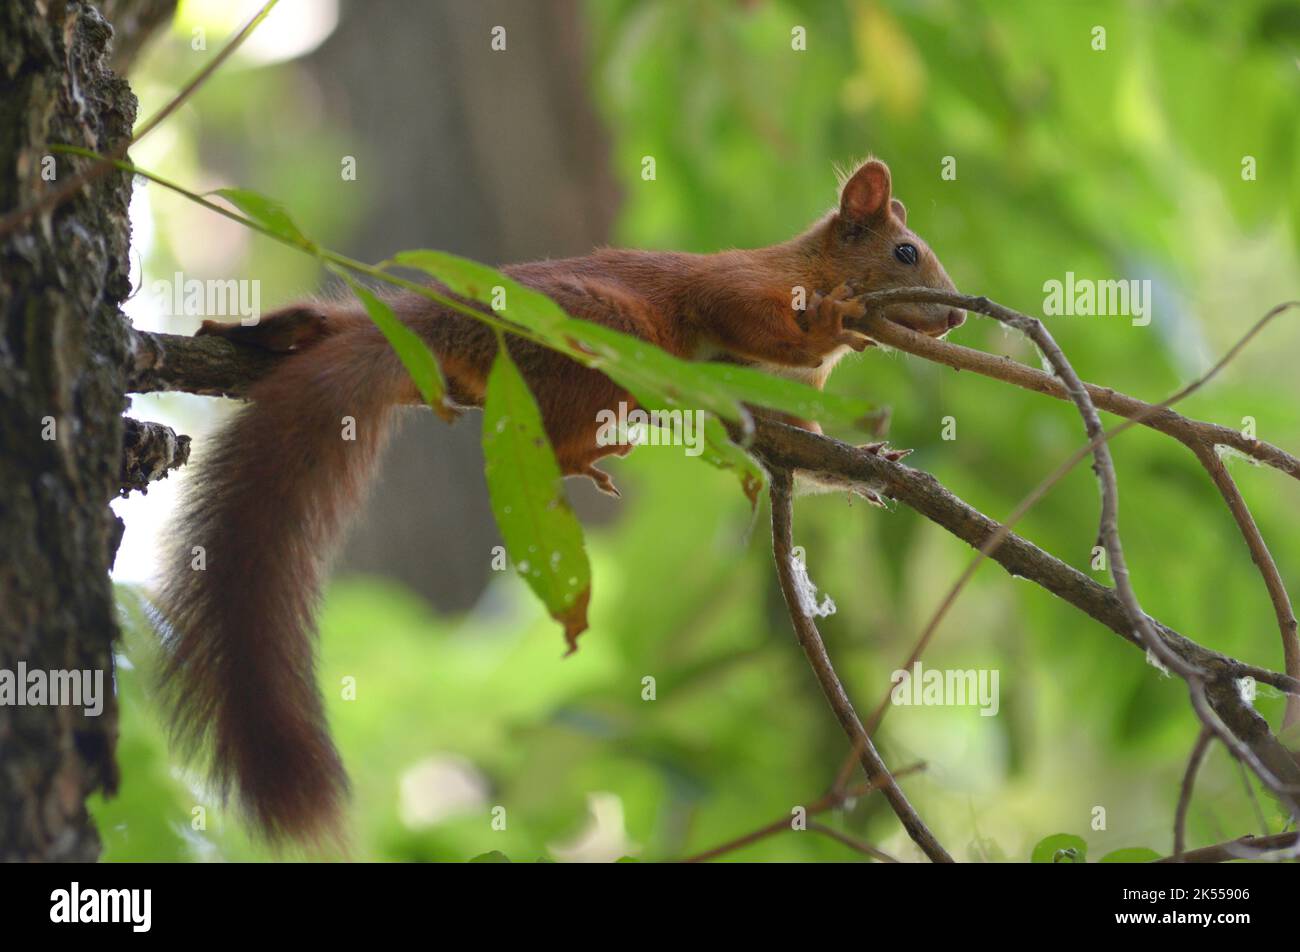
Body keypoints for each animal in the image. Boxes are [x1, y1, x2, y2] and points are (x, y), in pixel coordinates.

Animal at [154, 157, 964, 847]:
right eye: (906, 254)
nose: (957, 319)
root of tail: (449, 327)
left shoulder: (784, 405)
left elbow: (802, 445)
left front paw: (871, 467)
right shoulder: (738, 287)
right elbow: (747, 317)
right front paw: (835, 319)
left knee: (338, 326)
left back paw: (271, 331)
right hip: (606, 331)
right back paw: (581, 454)